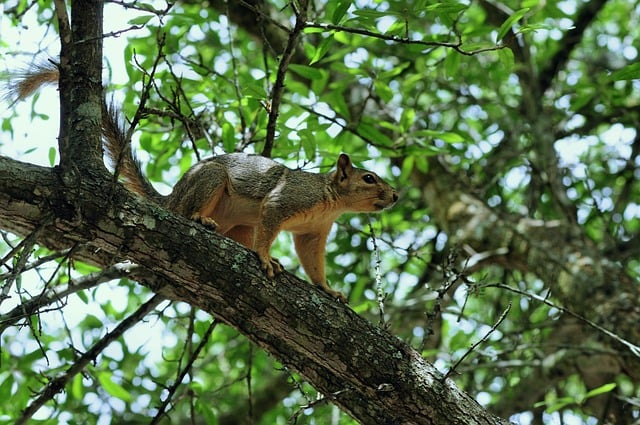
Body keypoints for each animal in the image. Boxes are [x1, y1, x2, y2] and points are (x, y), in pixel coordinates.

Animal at [8, 64, 398, 302]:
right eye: (368, 178)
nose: (395, 195)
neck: (331, 200)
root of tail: (172, 197)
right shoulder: (289, 198)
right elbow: (271, 219)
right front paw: (265, 257)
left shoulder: (313, 233)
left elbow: (313, 261)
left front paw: (328, 290)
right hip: (209, 181)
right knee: (188, 211)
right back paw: (198, 218)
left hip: (241, 224)